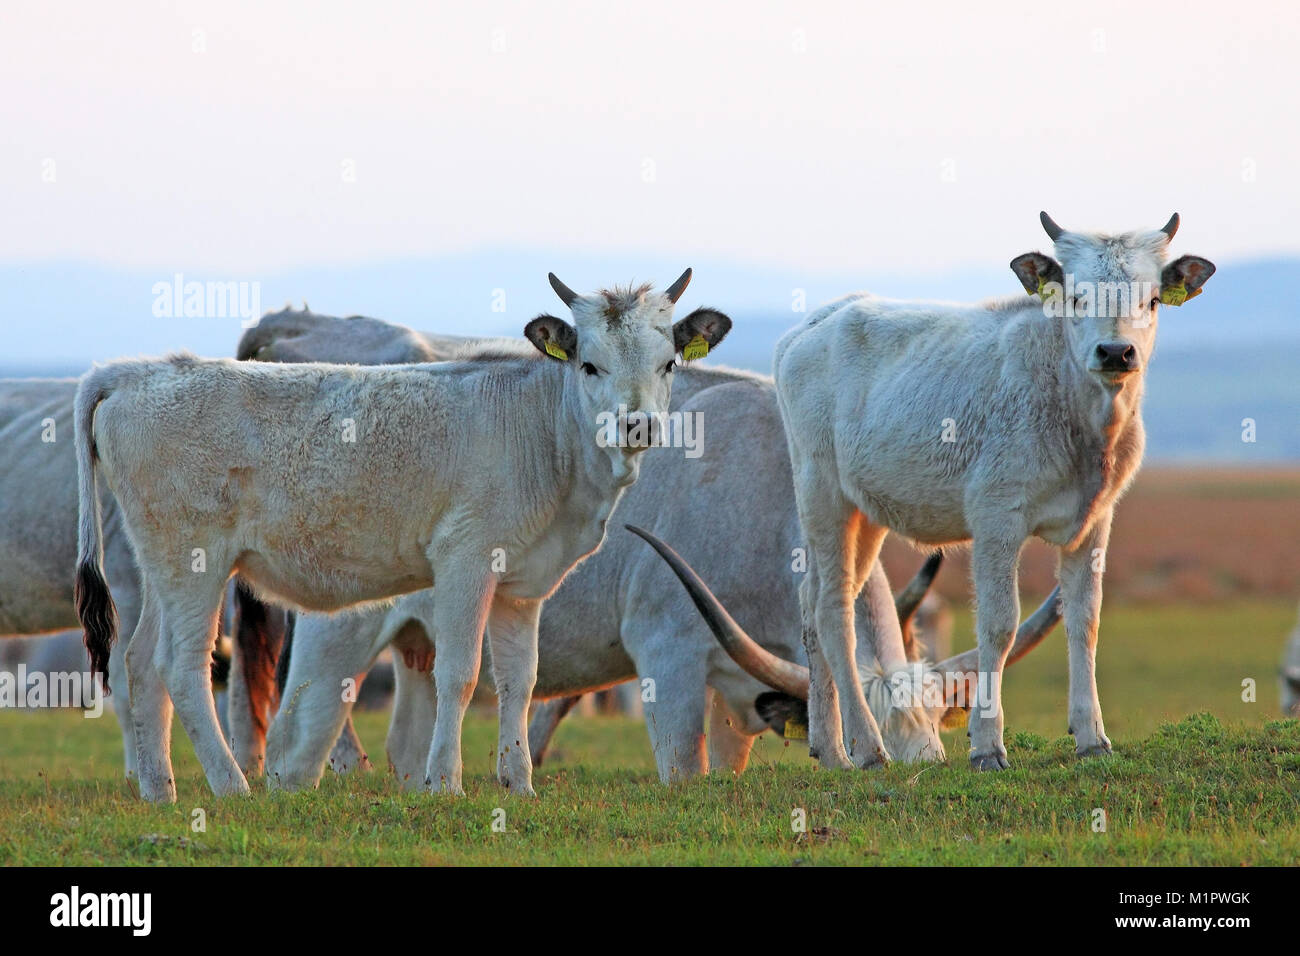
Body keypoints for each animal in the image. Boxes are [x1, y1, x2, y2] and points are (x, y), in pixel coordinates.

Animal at [74, 269, 731, 801]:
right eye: (589, 364)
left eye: (669, 363)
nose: (637, 424)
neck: (544, 431)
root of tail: (134, 371)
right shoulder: (466, 560)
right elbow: (460, 674)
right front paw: (446, 782)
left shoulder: (523, 585)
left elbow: (520, 682)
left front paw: (519, 784)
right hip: (194, 563)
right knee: (182, 666)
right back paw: (231, 785)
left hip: (164, 568)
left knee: (139, 663)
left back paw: (160, 790)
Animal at [771, 212, 1215, 770]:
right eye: (1075, 298)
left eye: (1152, 300)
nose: (1116, 351)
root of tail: (814, 324)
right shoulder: (996, 518)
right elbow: (999, 626)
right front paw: (987, 746)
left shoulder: (1094, 522)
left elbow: (1084, 620)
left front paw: (1092, 738)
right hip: (821, 491)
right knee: (833, 611)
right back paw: (868, 748)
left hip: (864, 512)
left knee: (813, 605)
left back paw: (830, 748)